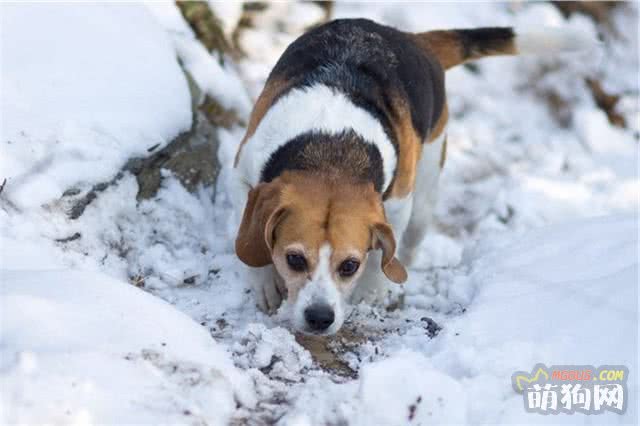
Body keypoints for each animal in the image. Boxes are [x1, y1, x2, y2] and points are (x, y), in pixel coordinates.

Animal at [232, 18, 592, 334]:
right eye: (293, 259)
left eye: (349, 266)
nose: (320, 318)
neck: (333, 151)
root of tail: (412, 38)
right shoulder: (243, 177)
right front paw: (264, 280)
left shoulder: (396, 205)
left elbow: (382, 255)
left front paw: (373, 292)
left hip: (424, 194)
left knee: (411, 242)